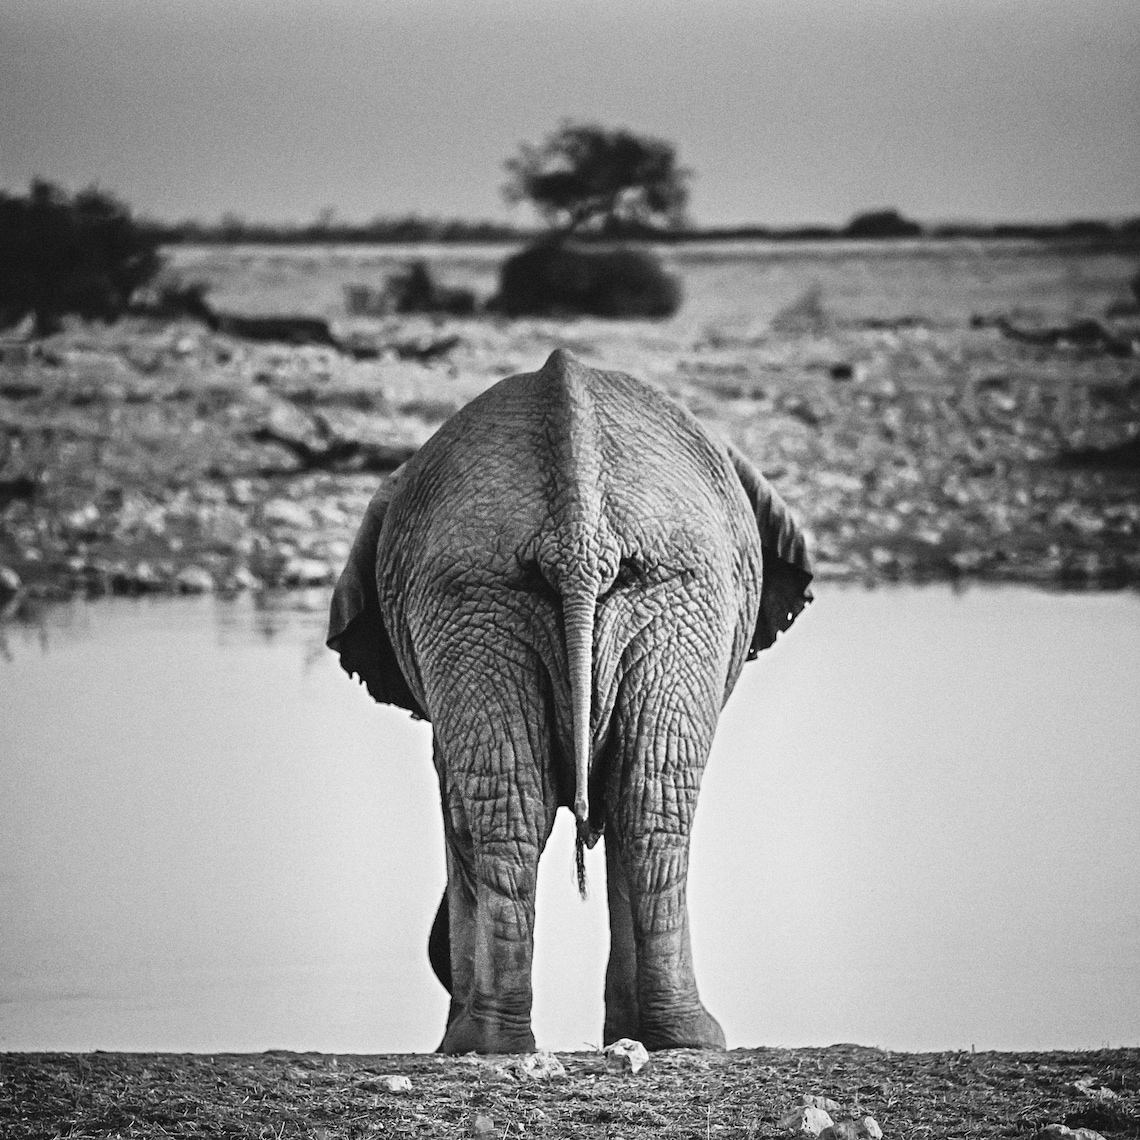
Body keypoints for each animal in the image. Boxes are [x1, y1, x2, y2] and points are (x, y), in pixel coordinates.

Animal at [327, 349, 812, 1054]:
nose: (435, 954)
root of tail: (576, 532)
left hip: (640, 593)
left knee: (620, 804)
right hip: (499, 601)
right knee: (600, 806)